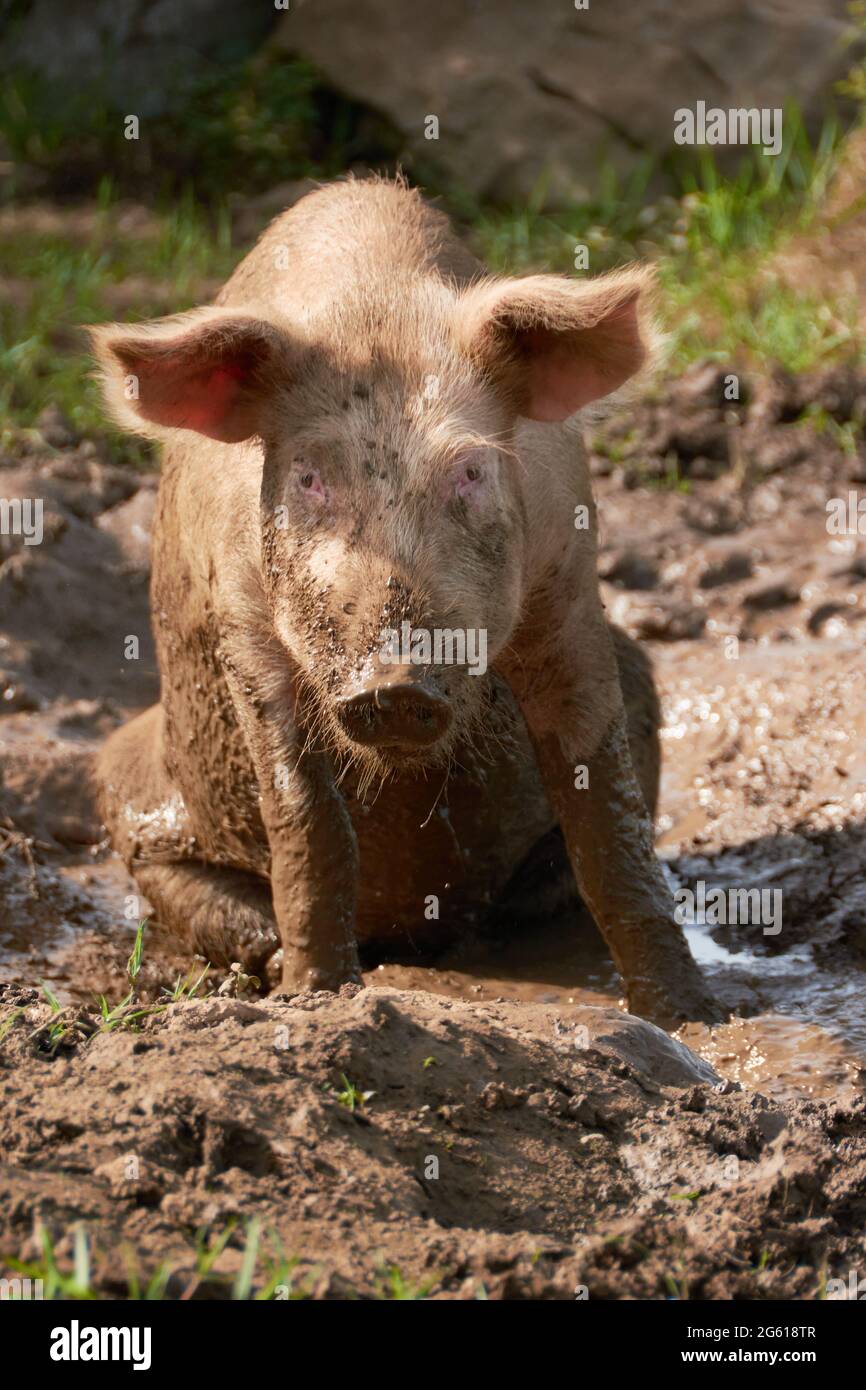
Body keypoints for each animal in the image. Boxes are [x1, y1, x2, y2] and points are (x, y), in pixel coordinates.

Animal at [91, 175, 718, 1028]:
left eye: (471, 470)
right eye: (310, 477)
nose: (393, 686)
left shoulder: (569, 587)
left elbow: (607, 813)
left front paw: (692, 1018)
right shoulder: (245, 625)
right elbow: (305, 820)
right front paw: (316, 999)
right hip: (123, 775)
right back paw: (264, 963)